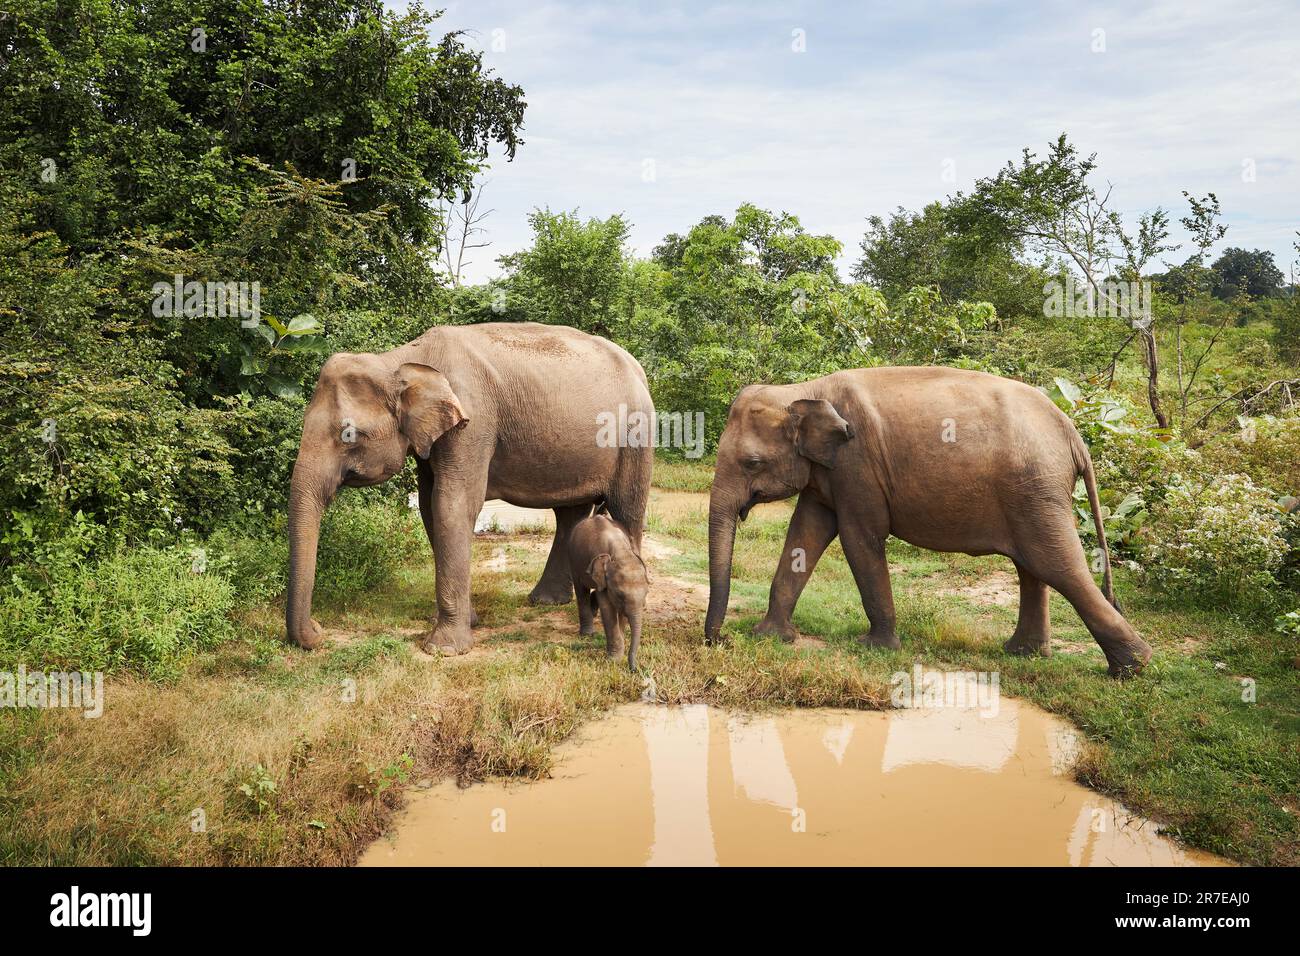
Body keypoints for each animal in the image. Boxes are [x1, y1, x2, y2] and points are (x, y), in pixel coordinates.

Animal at [286, 322, 654, 655]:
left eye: (349, 434)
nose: (318, 633)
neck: (402, 359)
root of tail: (637, 367)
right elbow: (429, 506)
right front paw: (466, 621)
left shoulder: (473, 424)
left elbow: (453, 503)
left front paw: (444, 649)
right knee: (570, 514)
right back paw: (546, 602)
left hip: (635, 434)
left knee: (627, 509)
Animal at [567, 512, 650, 671]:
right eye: (620, 595)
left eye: (646, 594)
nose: (636, 669)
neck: (620, 551)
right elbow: (608, 609)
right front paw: (614, 660)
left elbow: (621, 614)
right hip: (573, 559)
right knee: (581, 592)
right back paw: (587, 634)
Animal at [703, 367, 1153, 677]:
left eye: (752, 463)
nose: (718, 641)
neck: (802, 390)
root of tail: (1074, 433)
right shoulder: (827, 473)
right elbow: (805, 534)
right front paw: (769, 637)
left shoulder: (858, 466)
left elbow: (859, 538)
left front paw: (875, 647)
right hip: (1032, 492)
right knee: (1033, 566)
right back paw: (1024, 654)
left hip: (1035, 486)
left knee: (1056, 564)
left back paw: (1132, 668)